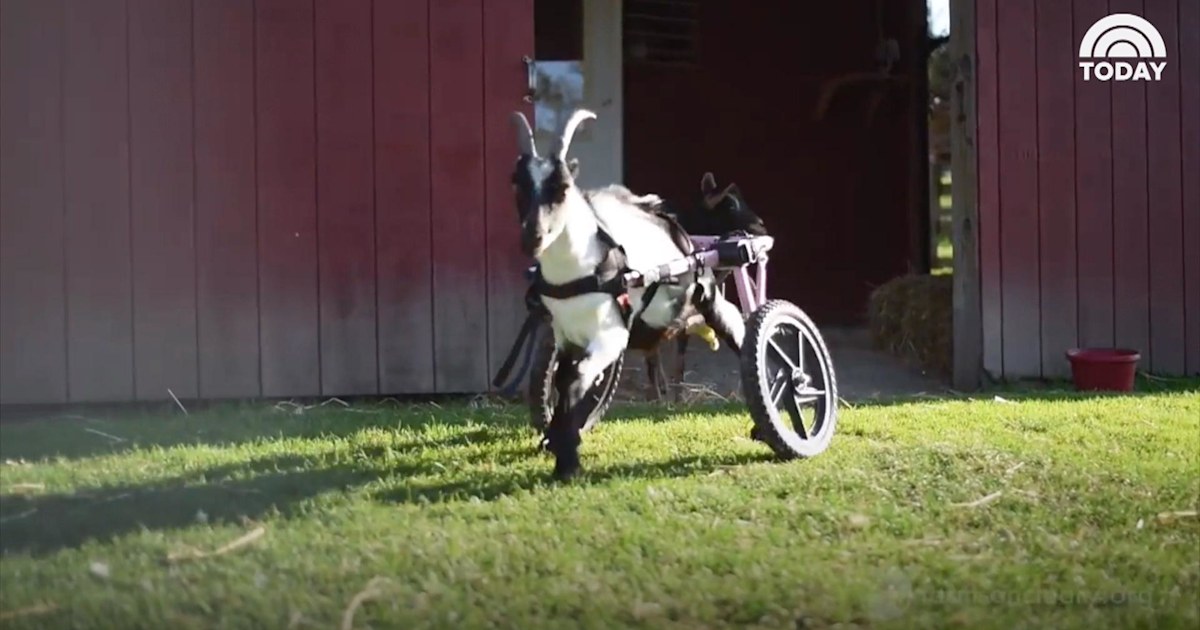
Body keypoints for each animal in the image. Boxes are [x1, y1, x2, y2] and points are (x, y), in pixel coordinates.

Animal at [510, 108, 746, 480]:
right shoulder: (565, 335)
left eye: (563, 186)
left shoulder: (611, 335)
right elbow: (563, 381)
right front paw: (559, 443)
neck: (584, 268)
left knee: (740, 331)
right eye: (516, 182)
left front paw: (567, 462)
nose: (532, 238)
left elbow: (575, 382)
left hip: (709, 298)